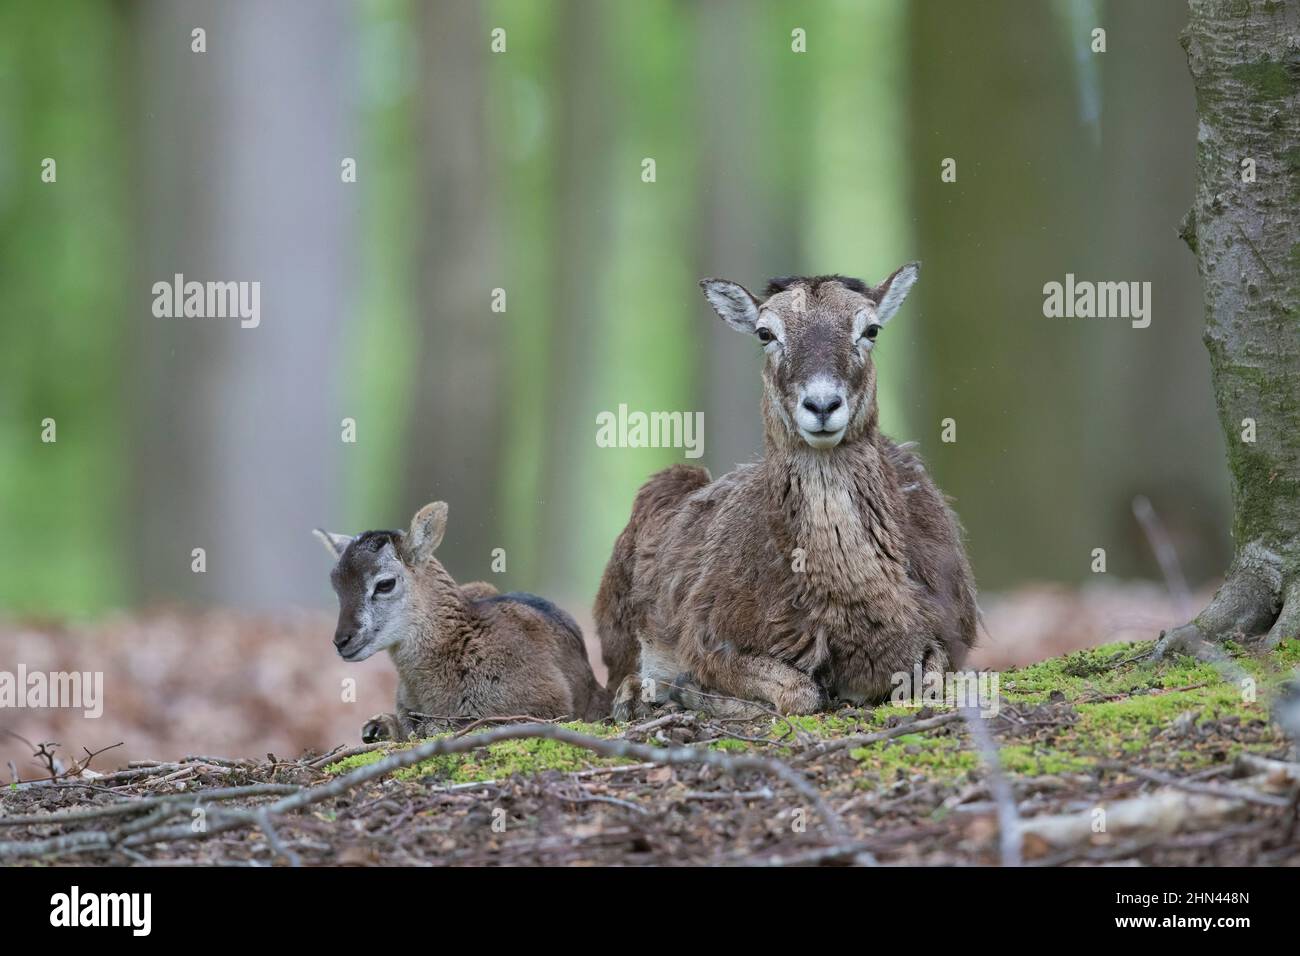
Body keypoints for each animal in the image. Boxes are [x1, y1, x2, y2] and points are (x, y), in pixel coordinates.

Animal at [595, 264, 978, 718]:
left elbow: (930, 681)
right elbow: (799, 693)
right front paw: (685, 690)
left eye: (871, 329)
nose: (822, 404)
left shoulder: (955, 628)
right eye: (765, 333)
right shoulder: (707, 634)